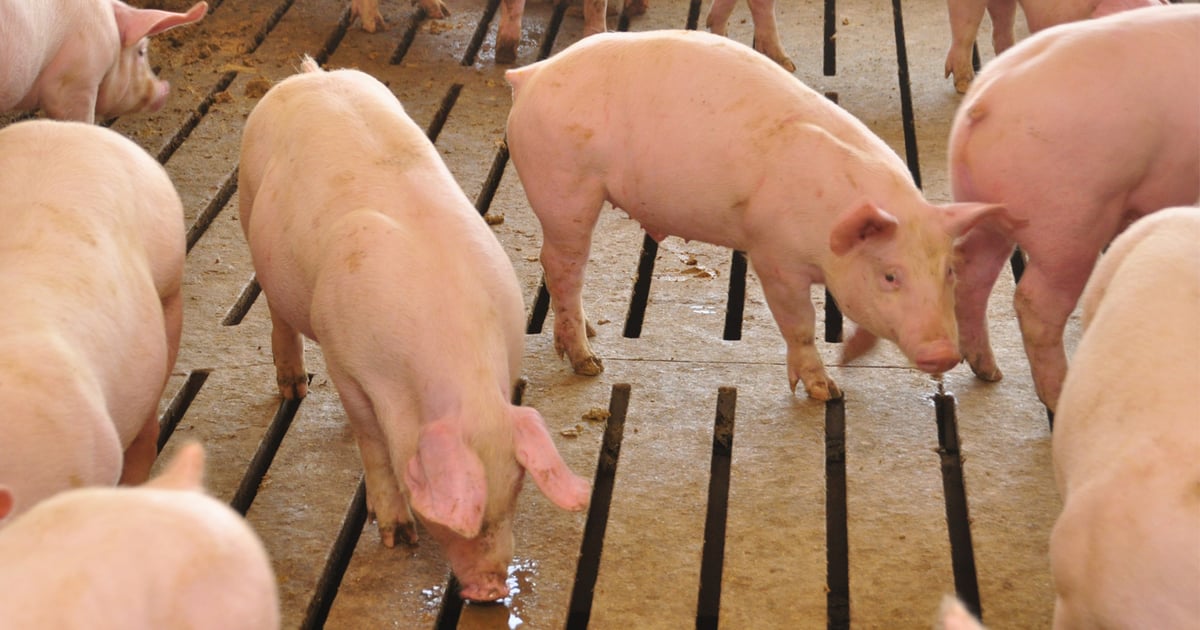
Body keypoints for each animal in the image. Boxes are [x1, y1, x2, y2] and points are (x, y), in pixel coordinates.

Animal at [238, 55, 592, 602]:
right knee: (279, 317)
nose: (492, 589)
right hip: (249, 212)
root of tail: (311, 76)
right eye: (462, 518)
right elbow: (371, 442)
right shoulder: (345, 362)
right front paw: (397, 537)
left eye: (515, 490)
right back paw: (294, 389)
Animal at [505, 30, 1010, 401]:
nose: (944, 354)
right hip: (565, 187)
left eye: (949, 272)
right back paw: (589, 363)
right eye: (890, 275)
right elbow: (801, 323)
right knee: (560, 264)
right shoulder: (773, 256)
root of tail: (532, 73)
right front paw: (827, 393)